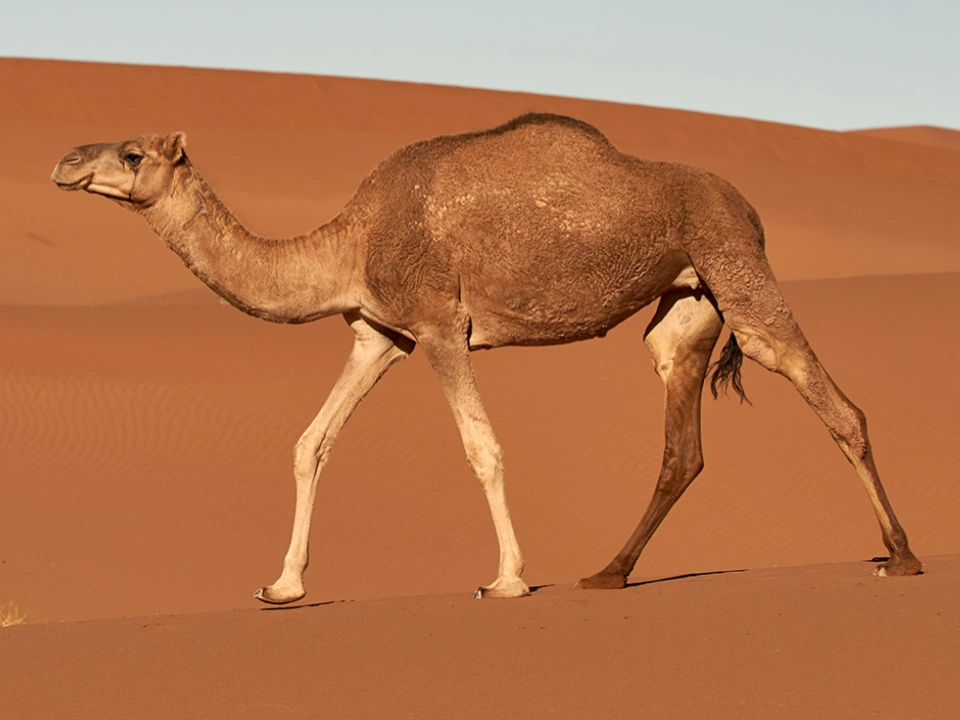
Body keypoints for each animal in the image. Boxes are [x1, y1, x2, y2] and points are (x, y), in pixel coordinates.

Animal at [51, 112, 922, 603]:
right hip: (688, 301)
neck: (349, 244)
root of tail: (750, 206)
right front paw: (283, 585)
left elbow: (482, 447)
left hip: (734, 263)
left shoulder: (440, 327)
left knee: (832, 399)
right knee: (683, 442)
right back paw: (608, 574)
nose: (64, 162)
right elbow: (312, 442)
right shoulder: (381, 334)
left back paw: (902, 558)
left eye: (133, 155)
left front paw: (505, 579)